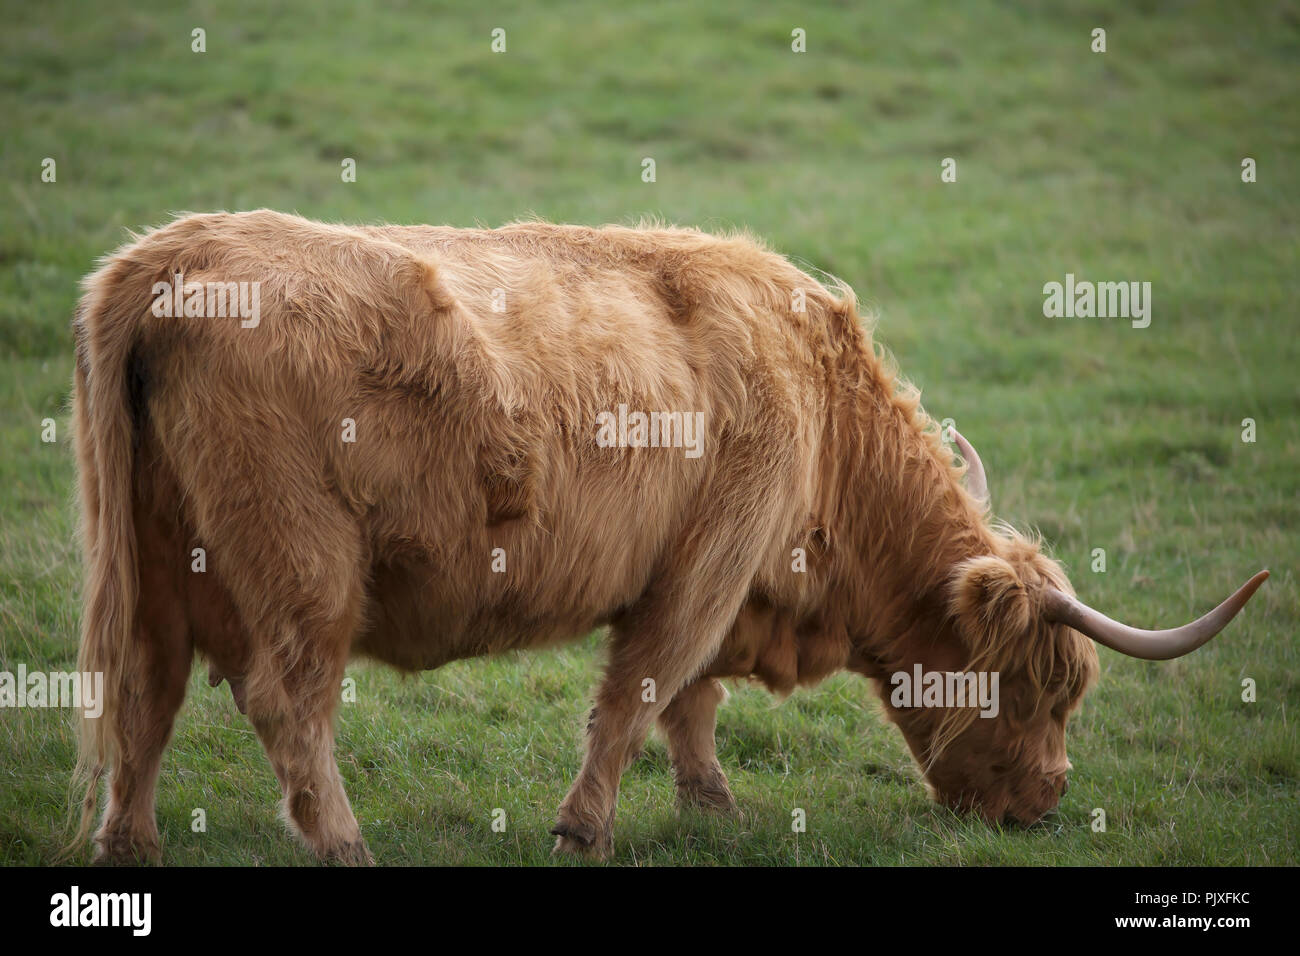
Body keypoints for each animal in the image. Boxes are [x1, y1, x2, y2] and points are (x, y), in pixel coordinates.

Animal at [69, 210, 1267, 863]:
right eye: (1037, 687)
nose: (1047, 801)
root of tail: (173, 256)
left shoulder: (717, 584)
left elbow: (688, 703)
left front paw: (713, 808)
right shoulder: (705, 568)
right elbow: (638, 694)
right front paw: (584, 827)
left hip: (151, 559)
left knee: (145, 692)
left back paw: (132, 842)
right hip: (303, 567)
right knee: (288, 700)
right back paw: (346, 843)